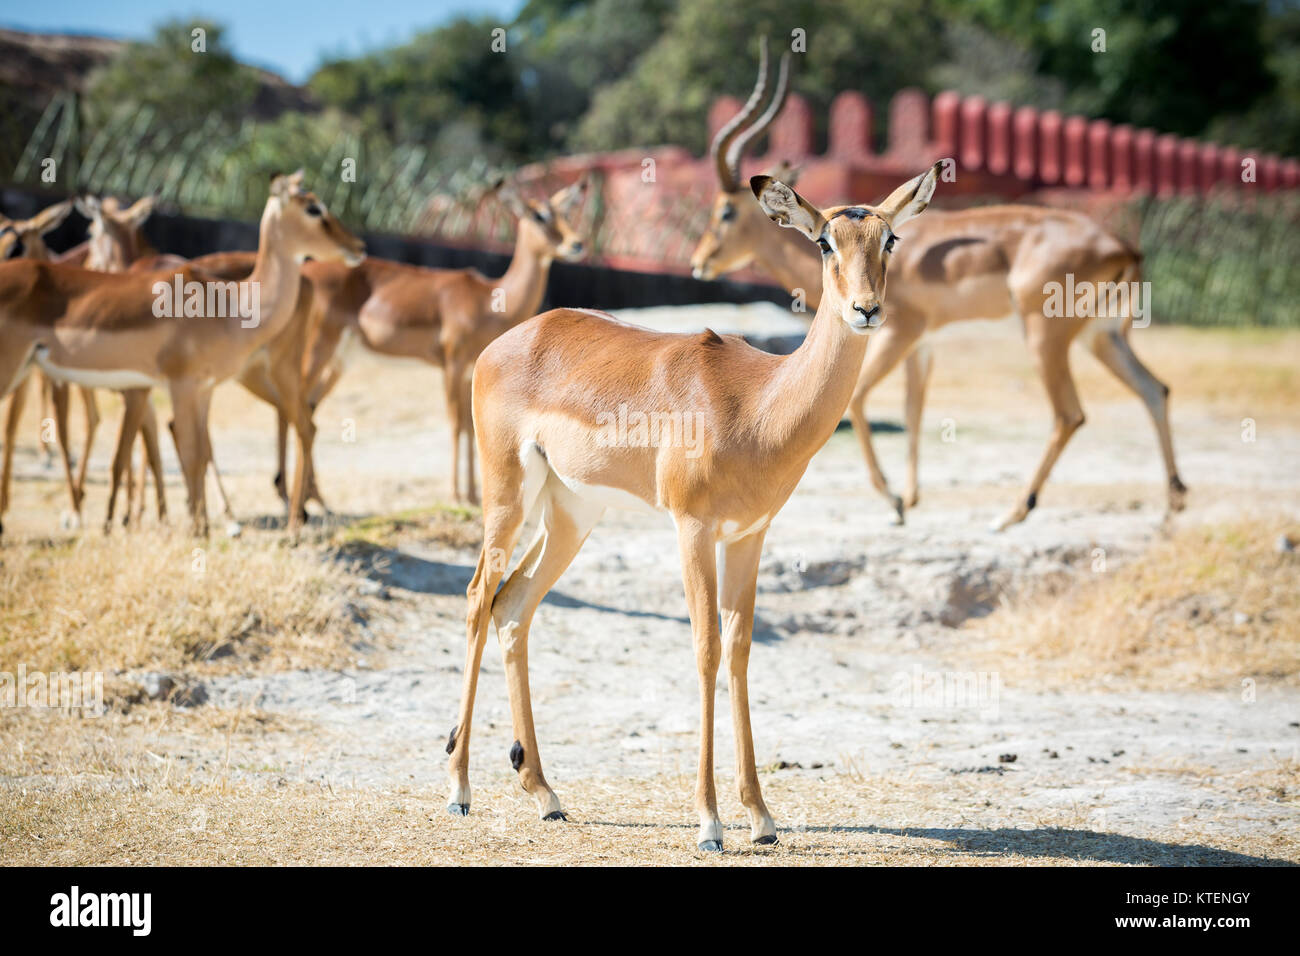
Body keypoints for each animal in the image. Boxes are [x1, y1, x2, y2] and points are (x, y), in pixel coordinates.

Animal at [0, 172, 364, 536]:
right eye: (313, 208)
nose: (358, 247)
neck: (232, 306)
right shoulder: (180, 387)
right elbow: (184, 454)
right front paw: (181, 527)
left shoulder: (188, 390)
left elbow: (185, 454)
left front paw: (180, 525)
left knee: (304, 423)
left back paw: (295, 520)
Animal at [292, 174, 590, 504]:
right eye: (539, 215)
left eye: (565, 213)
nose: (576, 243)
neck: (491, 299)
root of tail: (305, 269)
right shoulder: (452, 364)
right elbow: (456, 424)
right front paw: (456, 494)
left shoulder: (470, 370)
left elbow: (471, 427)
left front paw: (472, 494)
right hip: (315, 351)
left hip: (338, 362)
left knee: (309, 409)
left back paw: (316, 500)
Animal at [445, 164, 942, 851]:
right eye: (824, 242)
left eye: (889, 238)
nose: (867, 309)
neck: (757, 405)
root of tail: (511, 339)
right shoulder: (692, 528)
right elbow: (705, 648)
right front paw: (709, 823)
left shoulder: (749, 536)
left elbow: (740, 650)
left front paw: (761, 818)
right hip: (508, 497)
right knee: (475, 596)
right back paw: (459, 791)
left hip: (572, 514)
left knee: (513, 604)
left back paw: (546, 795)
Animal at [691, 46, 1186, 531]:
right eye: (825, 241)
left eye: (726, 211)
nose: (698, 263)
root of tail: (1123, 247)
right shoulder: (922, 345)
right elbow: (914, 410)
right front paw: (909, 498)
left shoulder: (900, 332)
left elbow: (860, 399)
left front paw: (894, 501)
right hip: (1102, 335)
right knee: (1155, 390)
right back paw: (1171, 506)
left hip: (1047, 337)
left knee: (1070, 413)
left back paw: (1010, 514)